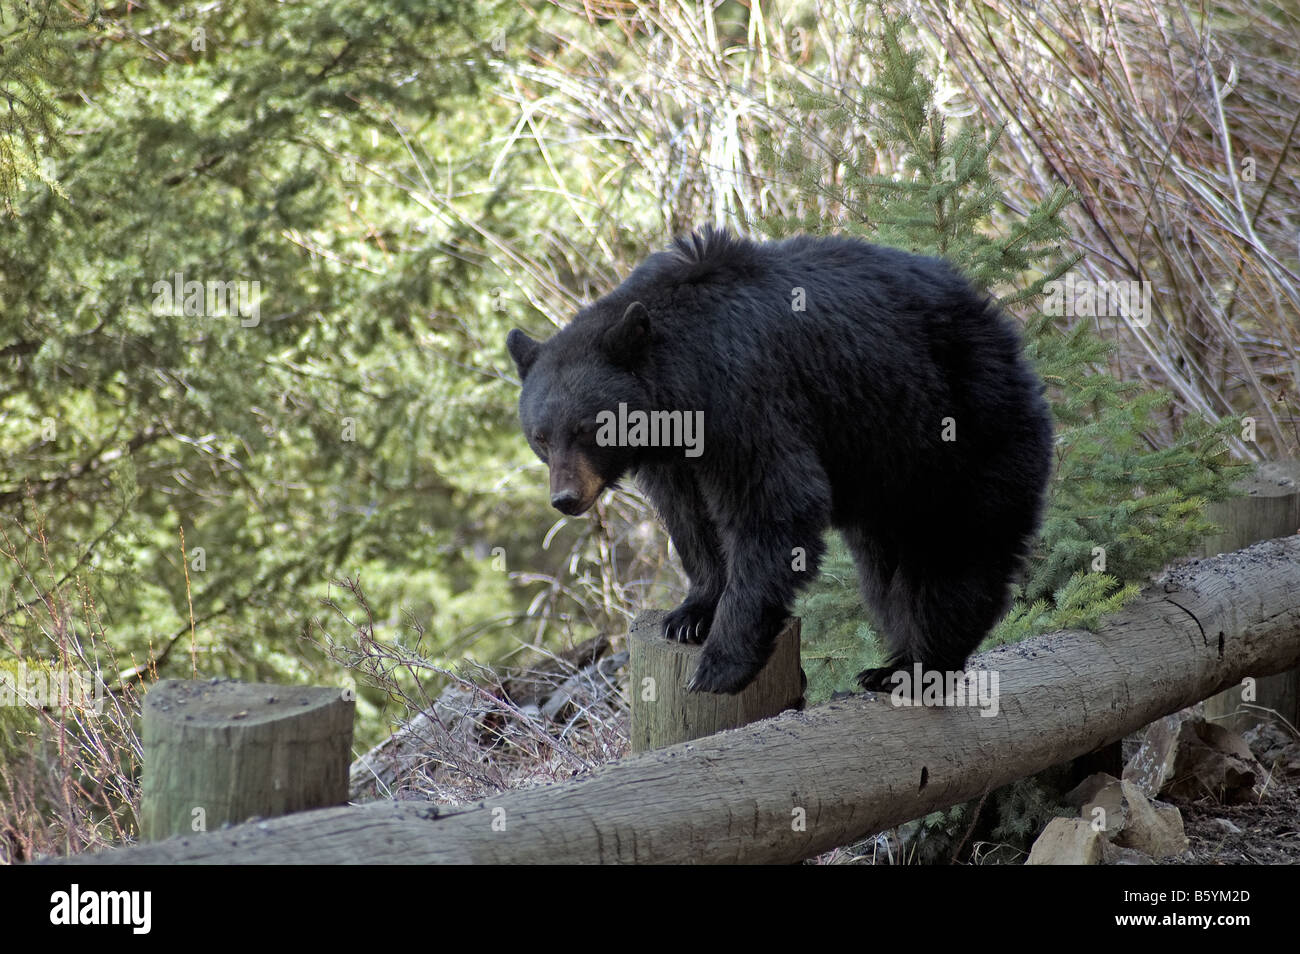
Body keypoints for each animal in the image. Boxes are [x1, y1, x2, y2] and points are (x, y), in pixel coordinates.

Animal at [507, 227, 1053, 695]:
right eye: (541, 437)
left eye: (587, 428)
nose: (565, 498)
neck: (679, 389)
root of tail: (1006, 331)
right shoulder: (675, 454)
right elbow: (691, 519)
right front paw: (690, 614)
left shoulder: (746, 393)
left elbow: (775, 504)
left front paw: (719, 663)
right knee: (886, 568)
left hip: (962, 430)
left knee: (955, 553)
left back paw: (915, 666)